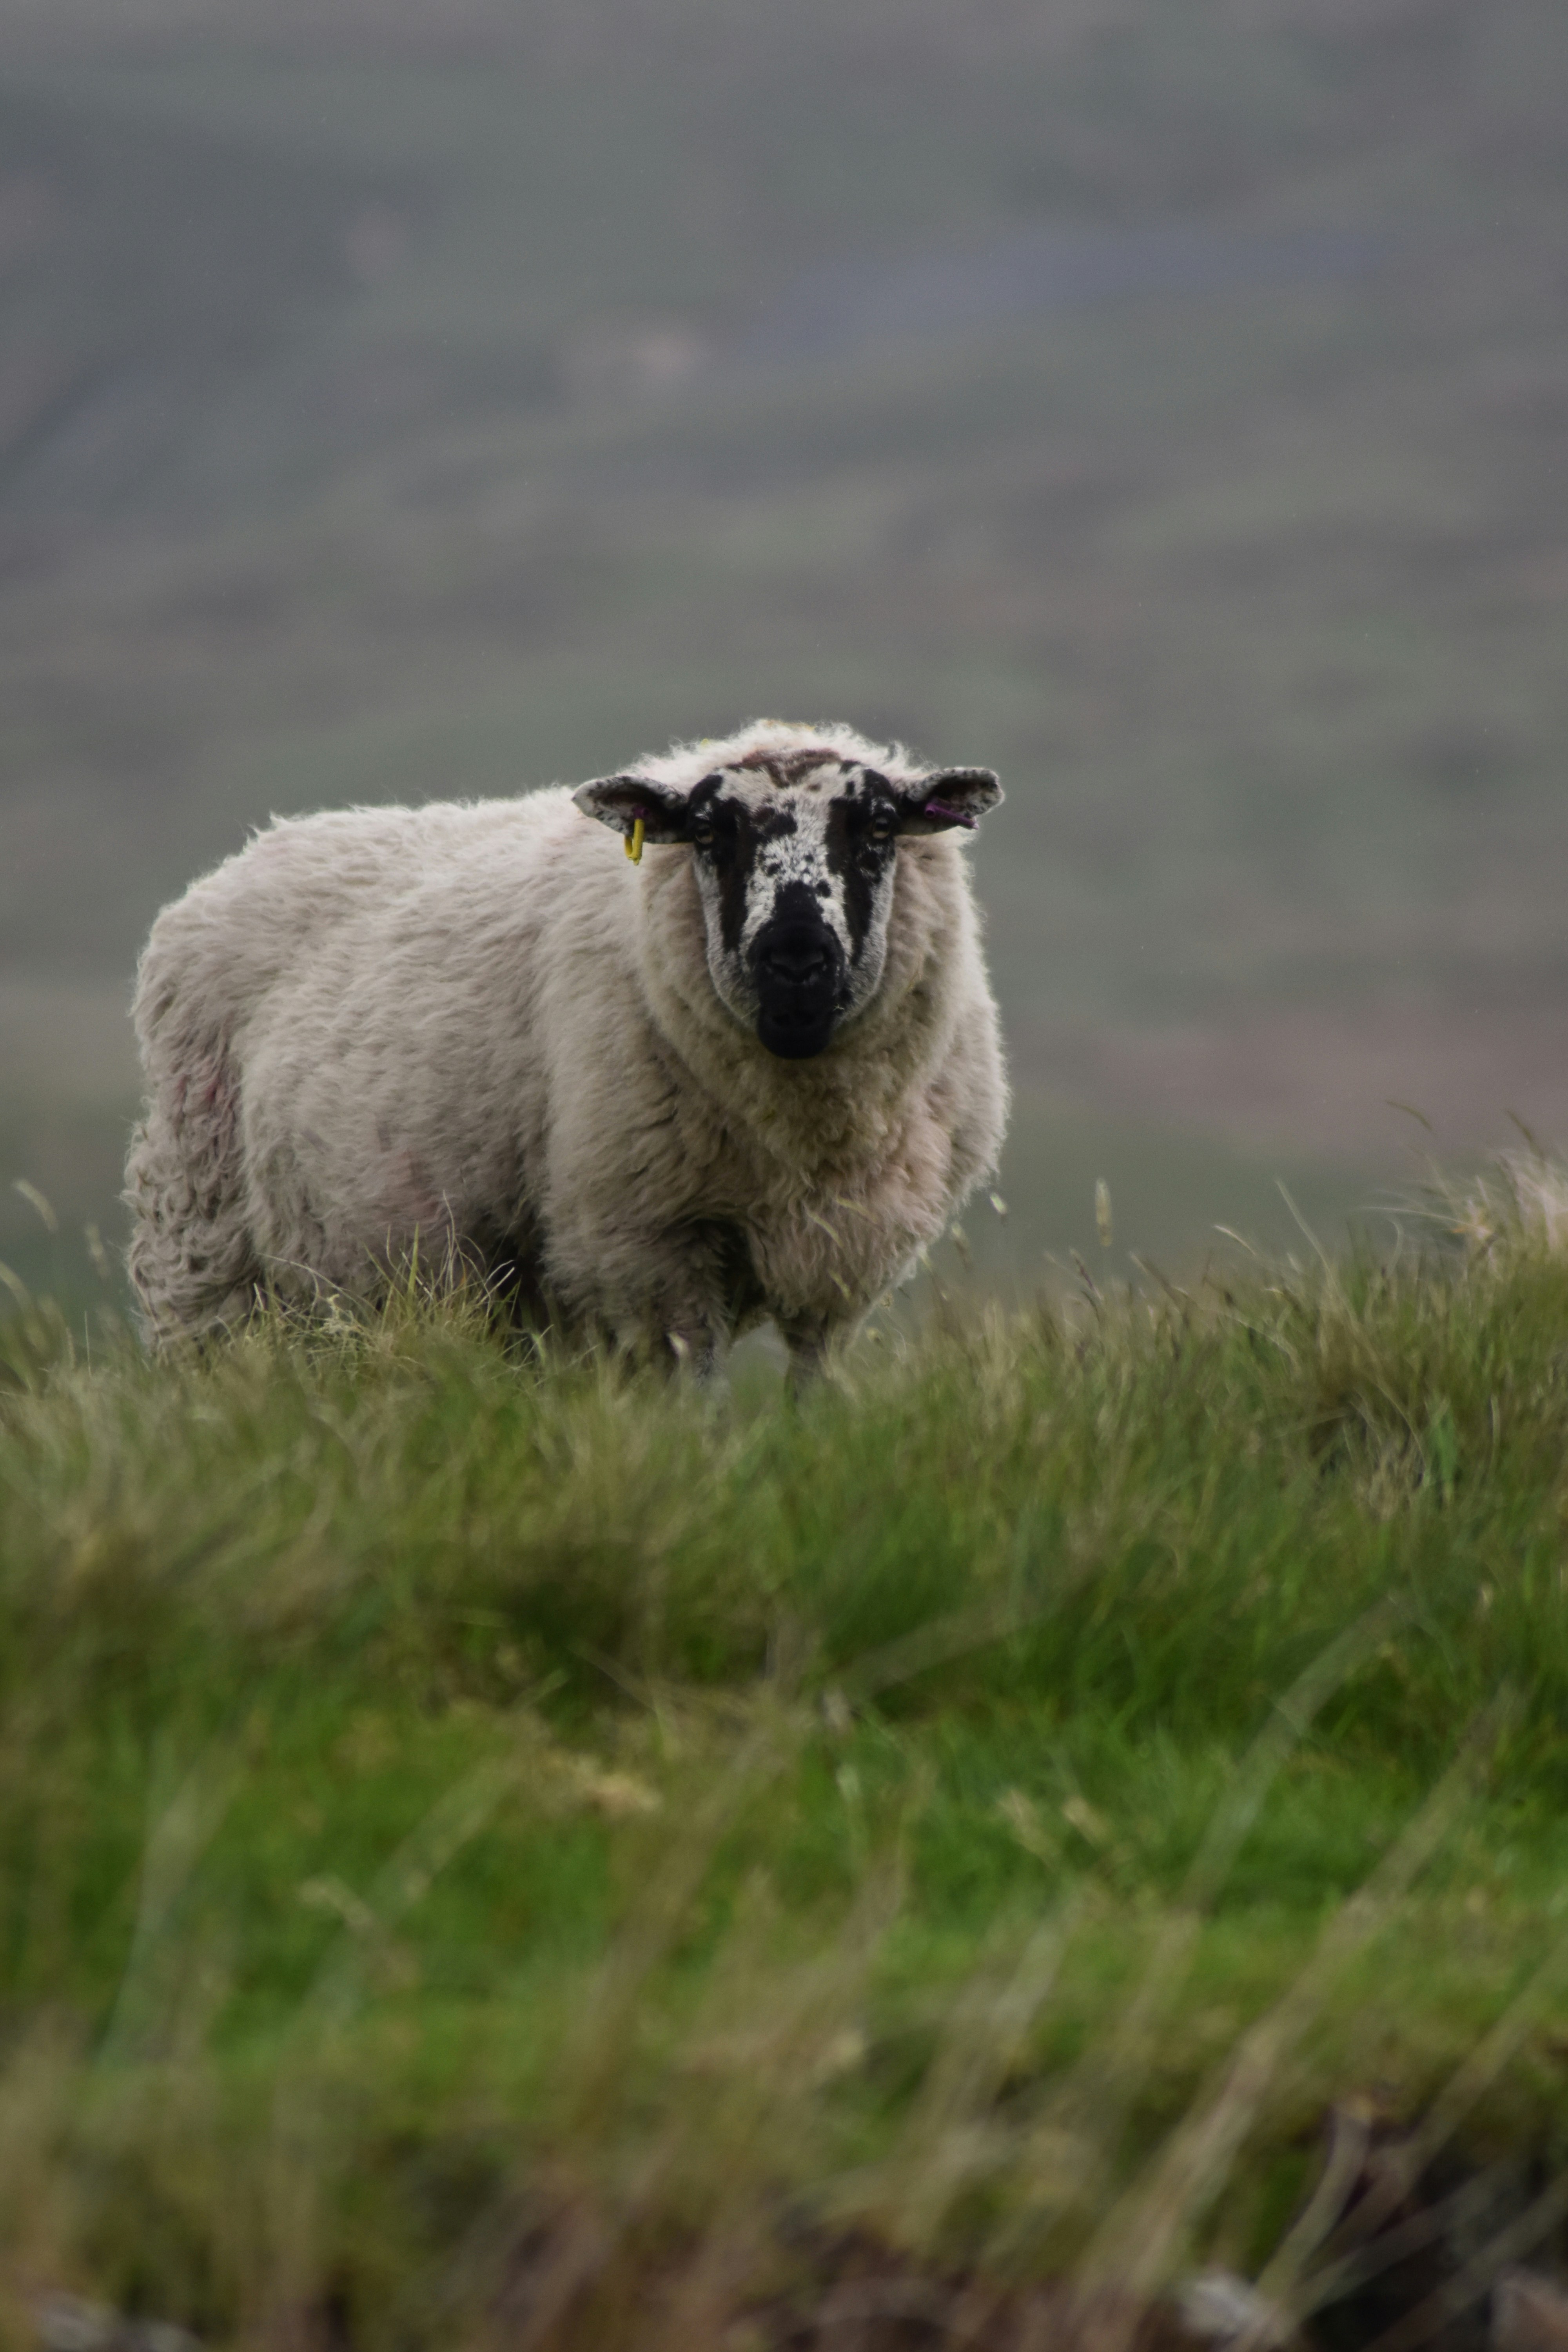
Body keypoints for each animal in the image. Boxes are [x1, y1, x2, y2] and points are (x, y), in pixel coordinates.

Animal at [124, 718, 1008, 1379]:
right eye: (708, 835)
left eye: (881, 828)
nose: (794, 961)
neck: (796, 1129)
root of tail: (250, 851)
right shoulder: (650, 1243)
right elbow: (702, 1389)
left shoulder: (844, 1251)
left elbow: (810, 1384)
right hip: (207, 1239)